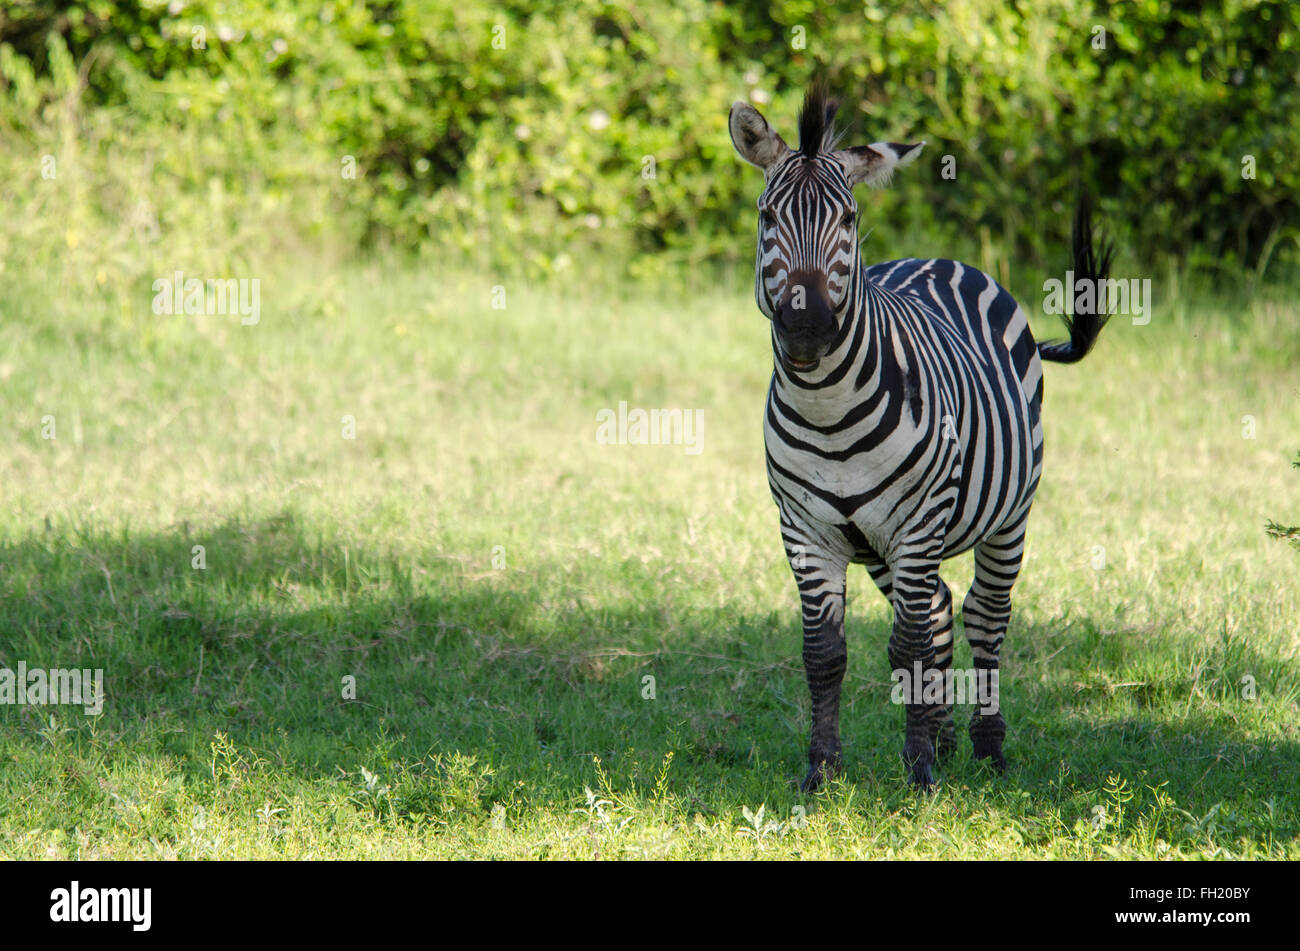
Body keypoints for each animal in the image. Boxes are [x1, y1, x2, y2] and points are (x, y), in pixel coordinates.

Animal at [728, 85, 1113, 790]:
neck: (827, 409)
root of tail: (940, 258)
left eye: (849, 220)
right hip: (886, 546)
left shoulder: (915, 524)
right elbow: (824, 652)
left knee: (983, 618)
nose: (807, 329)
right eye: (767, 216)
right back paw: (942, 736)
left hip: (1005, 516)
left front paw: (919, 777)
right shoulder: (805, 530)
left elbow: (906, 644)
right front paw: (823, 772)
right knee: (936, 613)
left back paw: (985, 749)